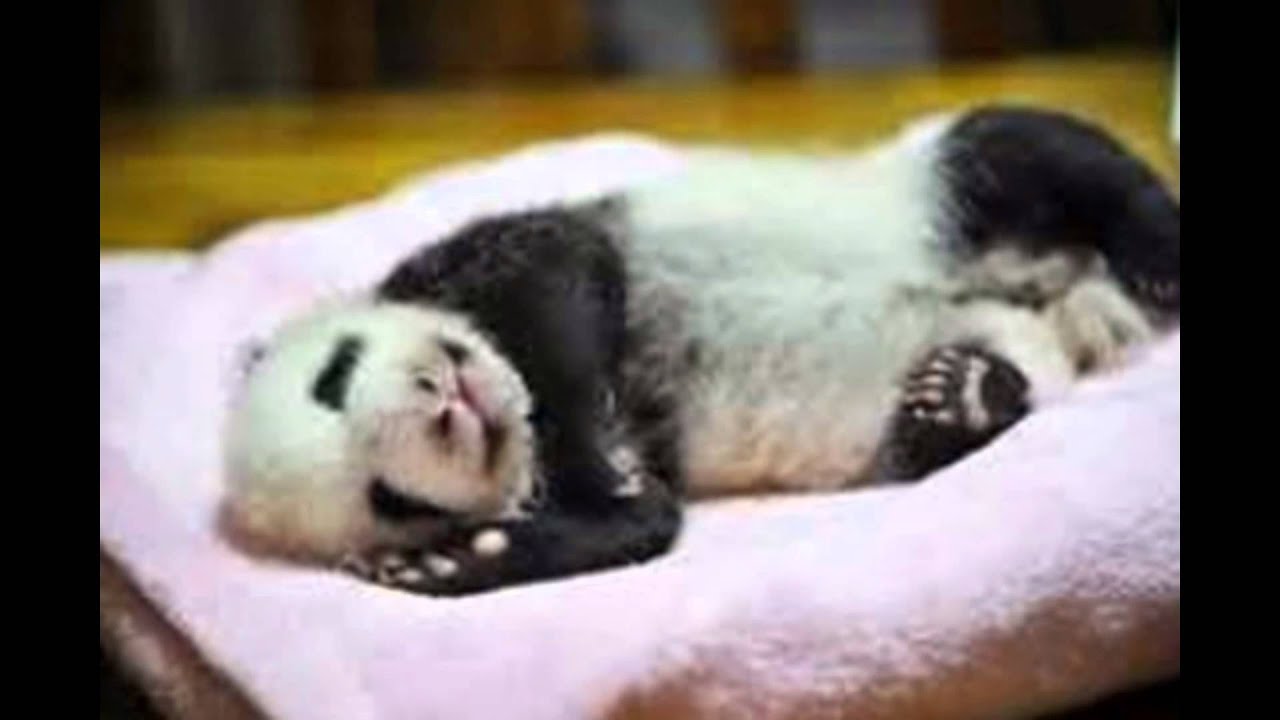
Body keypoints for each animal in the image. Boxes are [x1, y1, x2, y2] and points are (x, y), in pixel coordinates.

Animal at [223, 105, 1180, 596]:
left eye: (333, 377)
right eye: (388, 497)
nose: (444, 400)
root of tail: (1061, 305)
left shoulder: (495, 259)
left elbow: (561, 276)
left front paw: (587, 458)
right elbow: (643, 523)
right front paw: (447, 559)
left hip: (929, 198)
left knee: (1028, 152)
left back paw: (1153, 253)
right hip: (951, 375)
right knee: (943, 426)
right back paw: (963, 394)